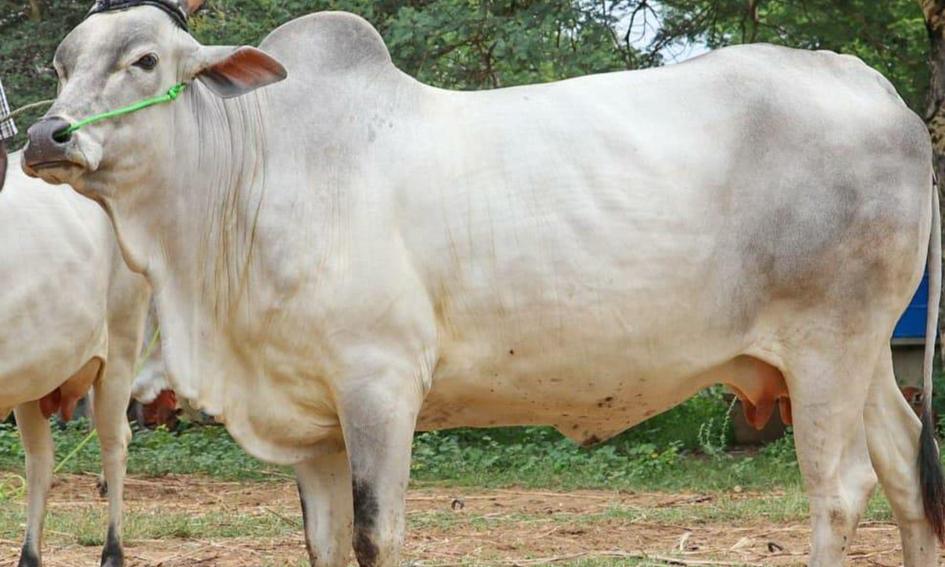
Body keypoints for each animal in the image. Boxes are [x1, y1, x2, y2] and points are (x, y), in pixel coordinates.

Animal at [1, 149, 151, 567]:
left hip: (121, 349)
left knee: (115, 442)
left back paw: (113, 551)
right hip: (35, 380)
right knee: (40, 461)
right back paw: (29, 555)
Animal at [20, 1, 944, 565]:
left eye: (144, 60)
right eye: (62, 65)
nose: (44, 136)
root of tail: (873, 88)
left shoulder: (381, 387)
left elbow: (375, 536)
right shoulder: (311, 419)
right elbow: (323, 543)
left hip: (826, 347)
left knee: (839, 490)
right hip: (858, 355)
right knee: (907, 469)